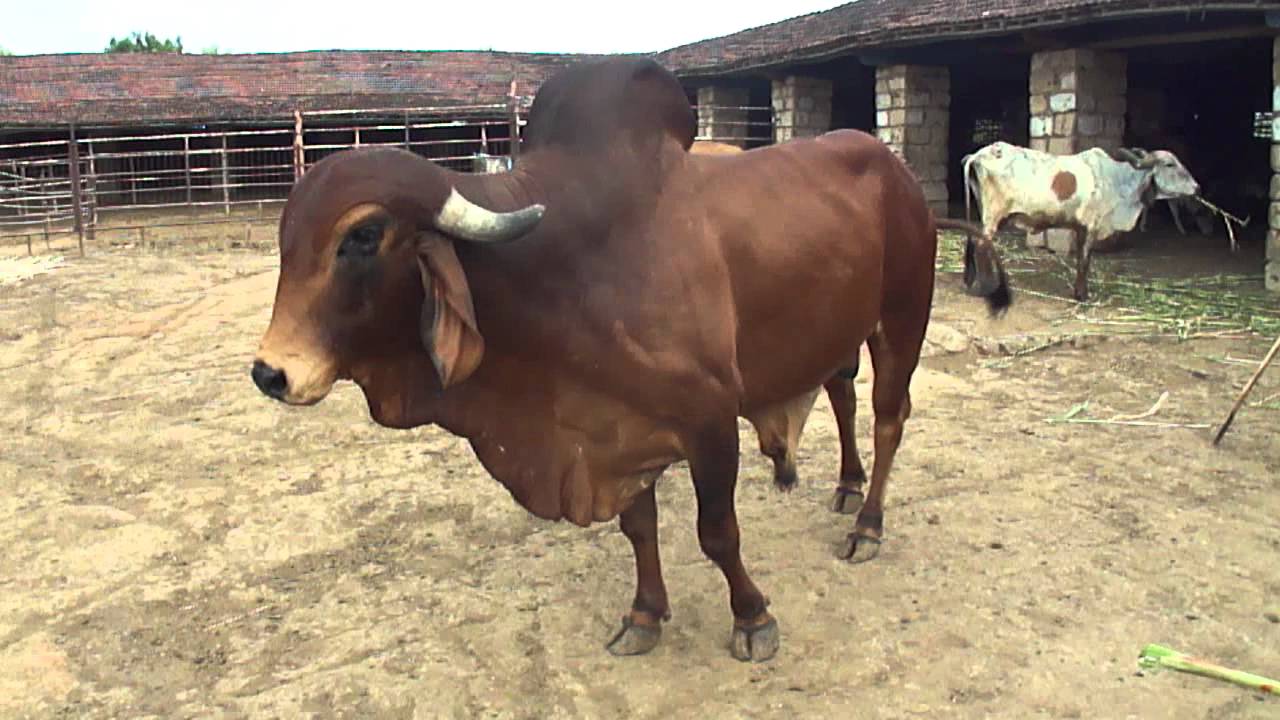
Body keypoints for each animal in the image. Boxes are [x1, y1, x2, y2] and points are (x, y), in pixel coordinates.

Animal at [251, 57, 1011, 662]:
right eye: (287, 240)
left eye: (362, 236)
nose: (270, 371)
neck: (560, 272)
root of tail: (895, 168)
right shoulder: (618, 427)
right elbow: (638, 528)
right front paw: (645, 614)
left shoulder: (709, 419)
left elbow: (717, 533)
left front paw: (752, 618)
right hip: (835, 332)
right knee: (843, 394)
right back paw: (846, 486)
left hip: (902, 317)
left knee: (888, 417)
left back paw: (868, 523)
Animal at [963, 141, 1200, 301]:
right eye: (1169, 164)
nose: (1197, 187)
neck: (1115, 179)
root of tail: (979, 154)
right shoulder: (1091, 225)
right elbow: (1085, 260)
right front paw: (1083, 295)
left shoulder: (1079, 228)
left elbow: (1079, 260)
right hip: (994, 216)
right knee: (981, 245)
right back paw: (983, 288)